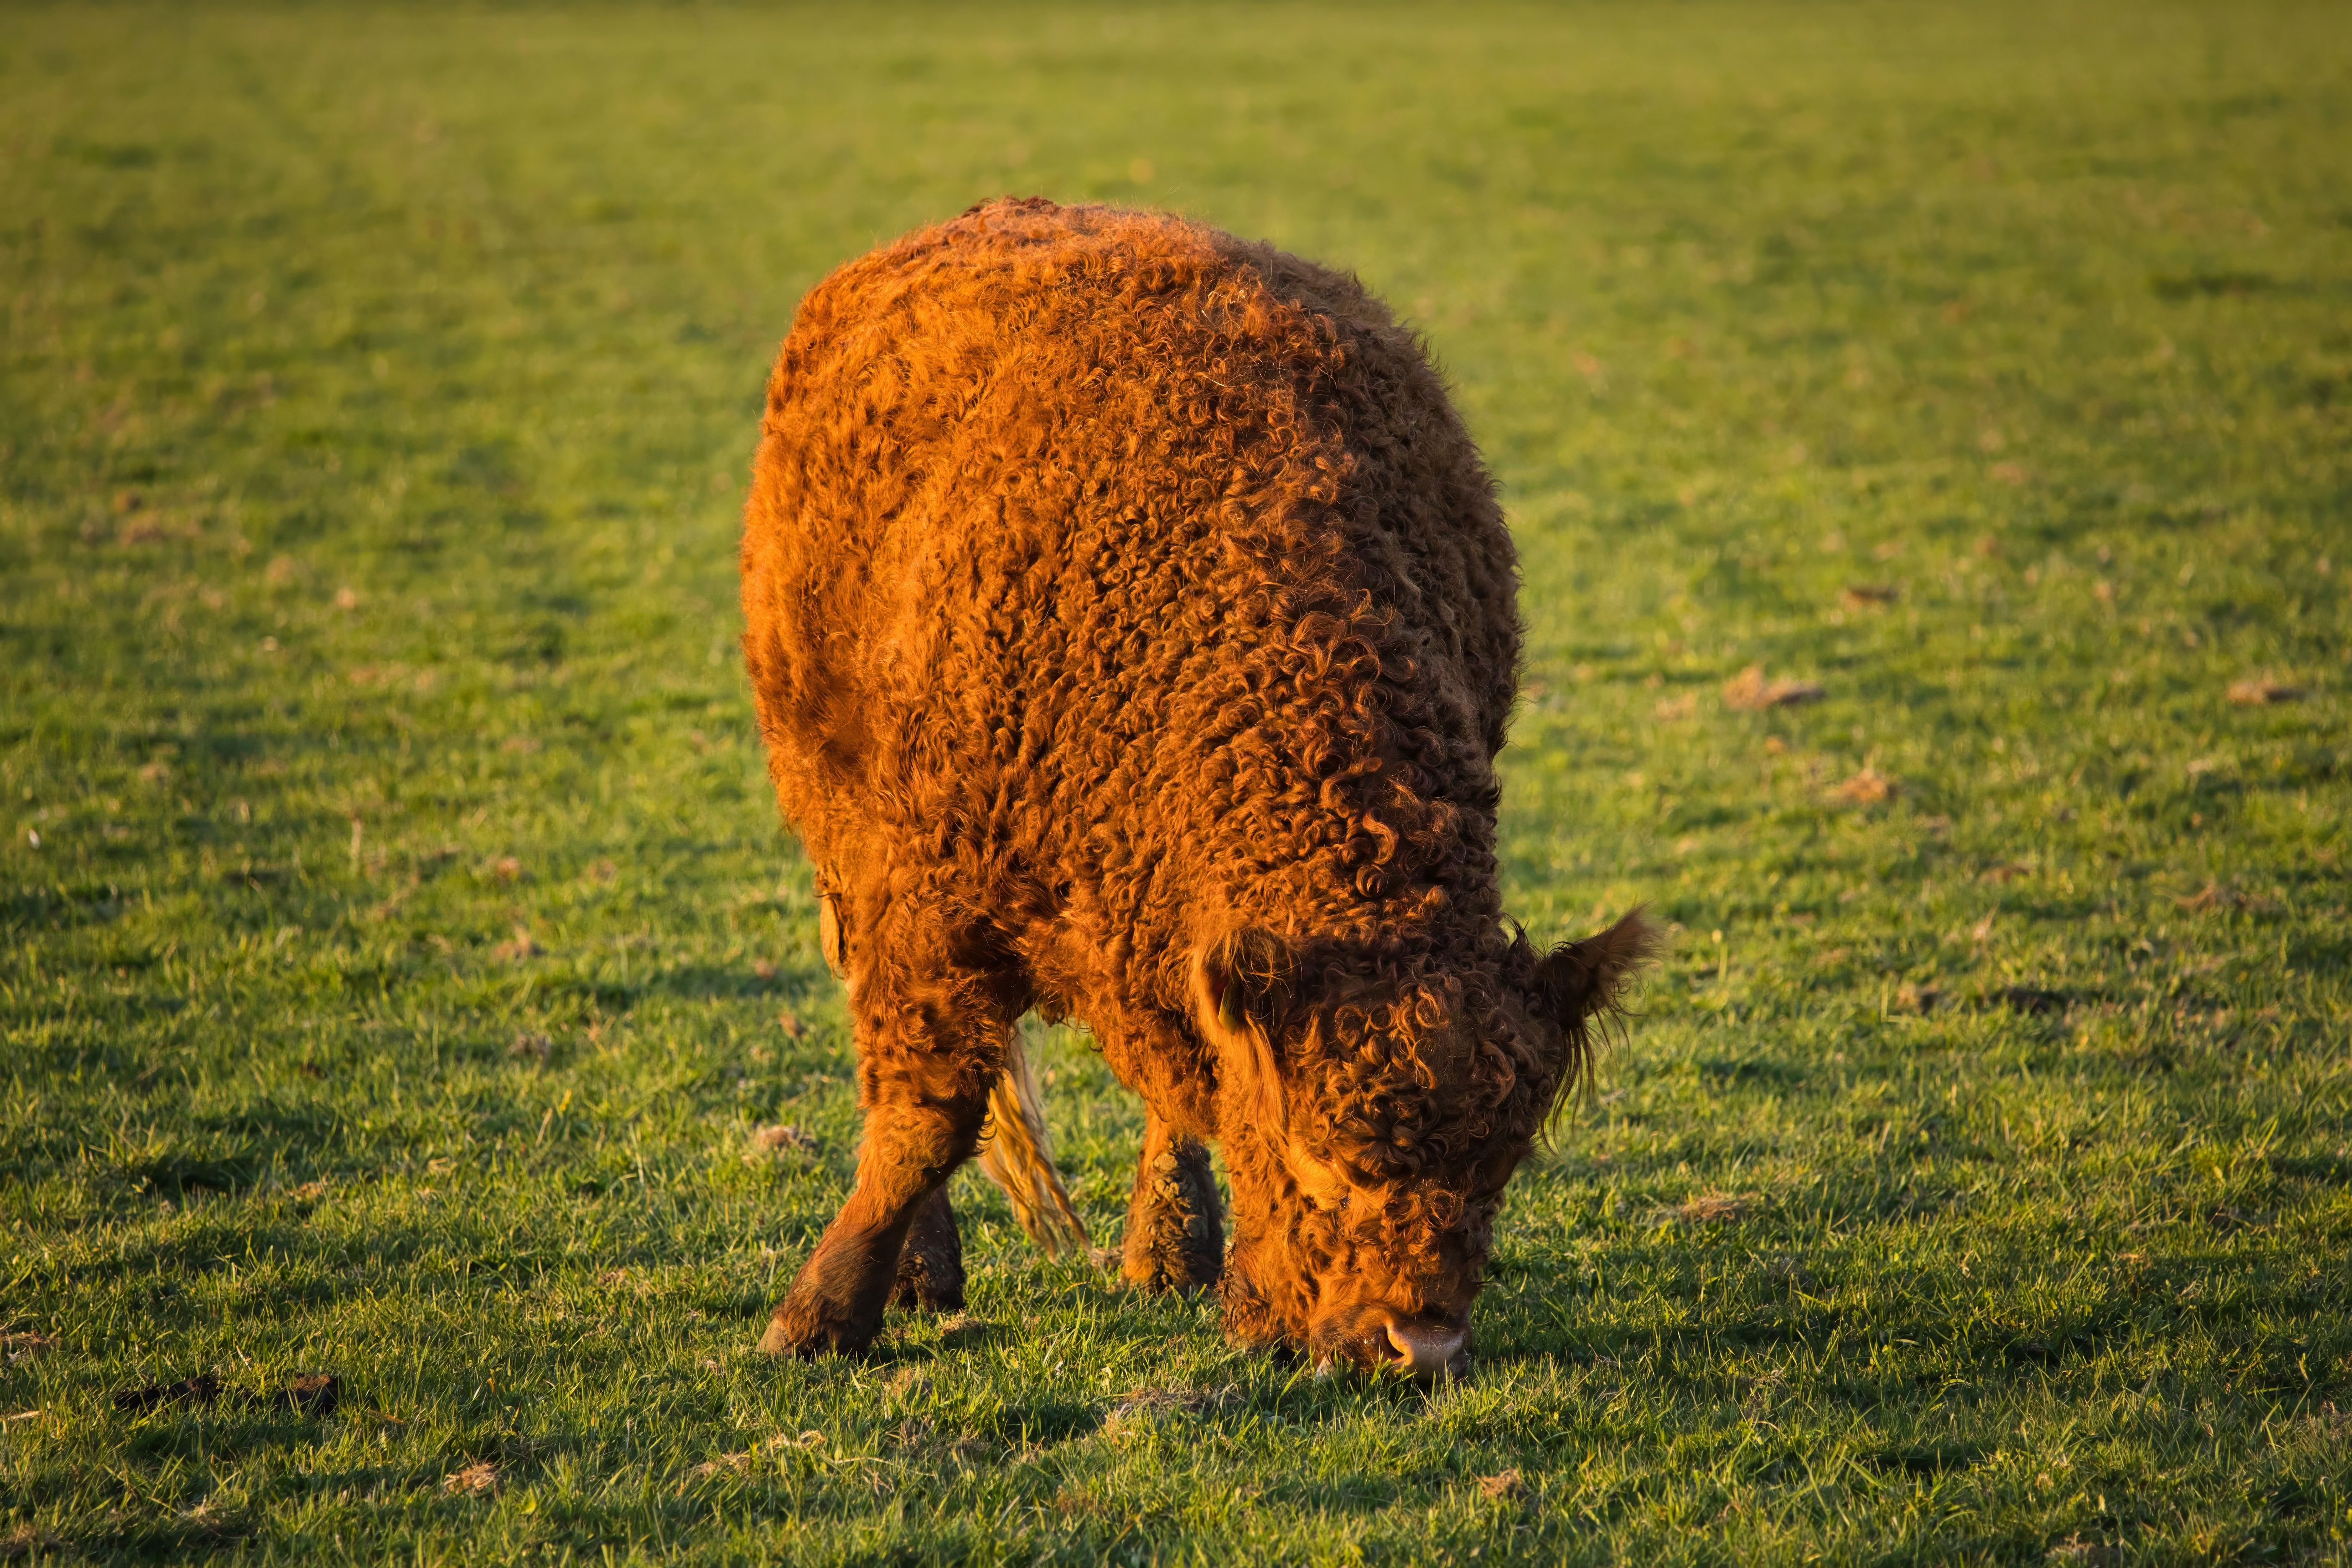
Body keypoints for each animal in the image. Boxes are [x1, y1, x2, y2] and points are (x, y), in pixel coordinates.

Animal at [739, 197, 1648, 1381]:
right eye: (1320, 1157)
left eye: (1500, 1166)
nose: (1421, 1342)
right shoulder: (924, 897)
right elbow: (924, 1114)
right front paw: (819, 1315)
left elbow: (1184, 1082)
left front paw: (1181, 1255)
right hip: (833, 830)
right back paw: (921, 1273)